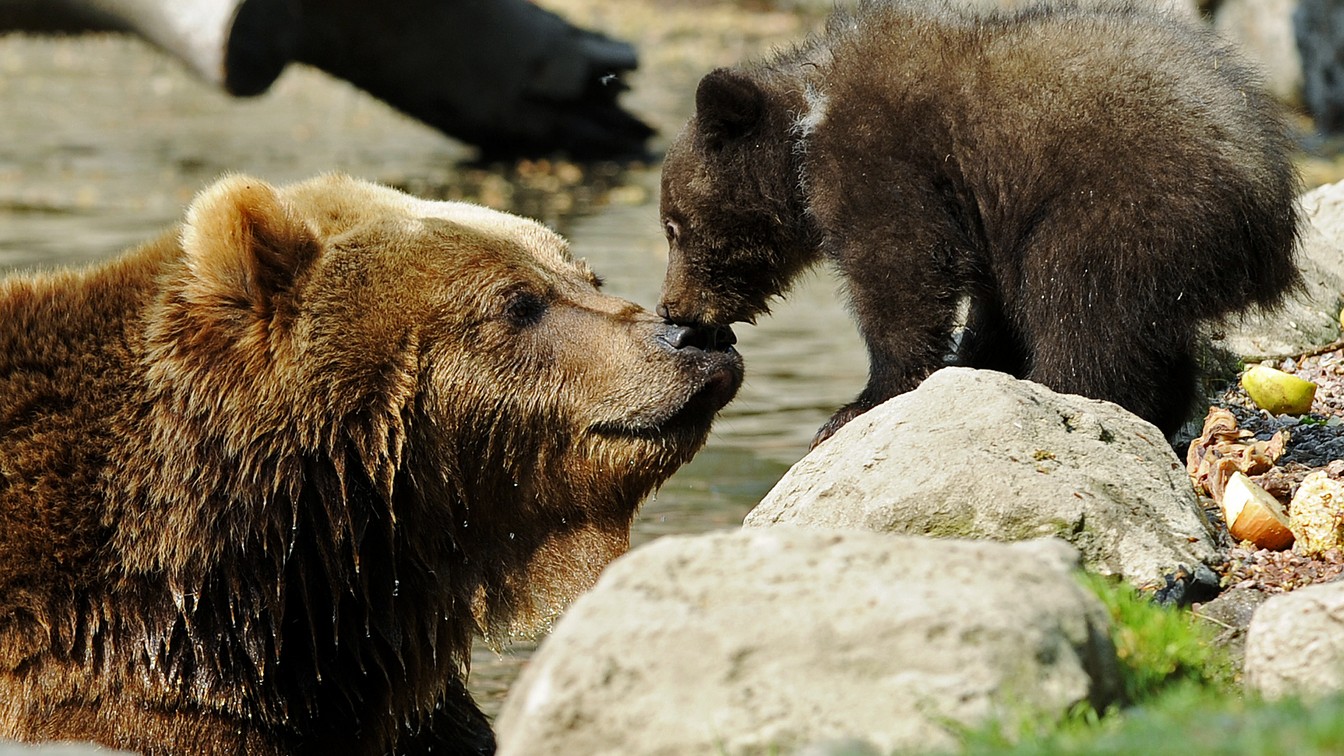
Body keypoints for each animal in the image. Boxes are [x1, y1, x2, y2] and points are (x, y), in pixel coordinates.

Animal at [657, 0, 1301, 445]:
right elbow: (987, 304)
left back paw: (1071, 393)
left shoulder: (886, 163)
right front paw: (970, 363)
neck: (803, 136)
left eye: (672, 226)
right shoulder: (984, 215)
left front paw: (854, 406)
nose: (671, 308)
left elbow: (903, 275)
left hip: (1124, 202)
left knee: (1080, 306)